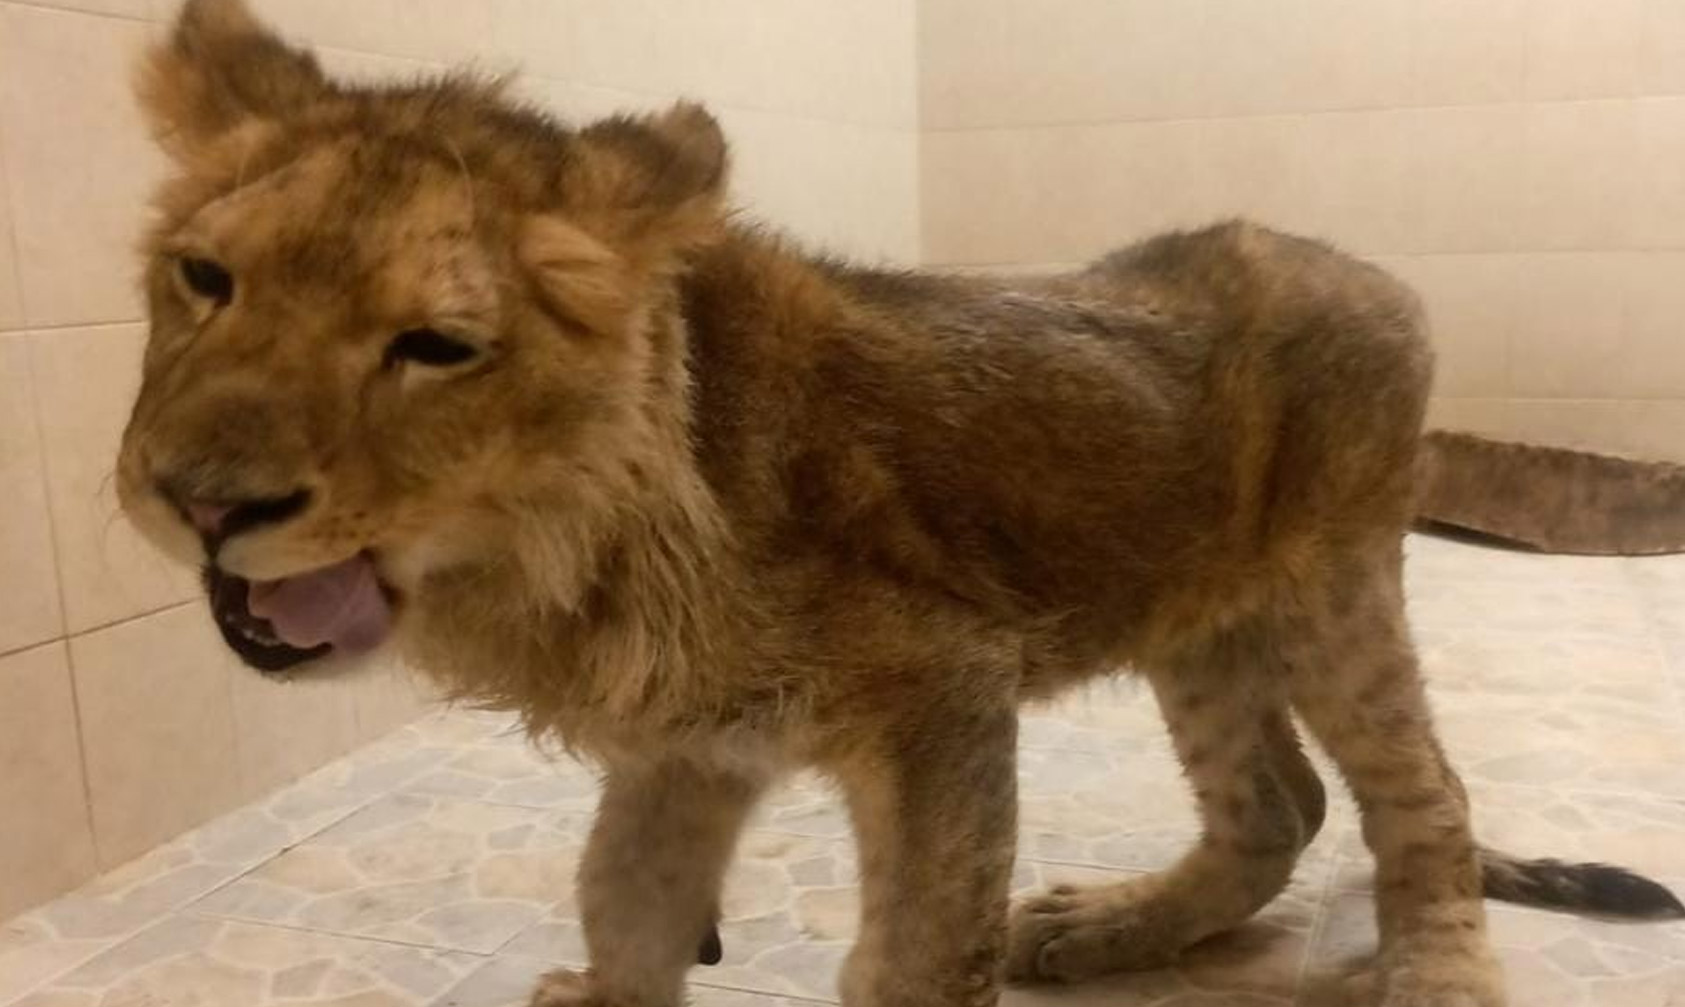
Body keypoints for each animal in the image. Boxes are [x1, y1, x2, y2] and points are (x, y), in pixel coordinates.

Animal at [116, 3, 1683, 1006]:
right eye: (206, 279)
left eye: (434, 347)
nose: (197, 502)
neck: (569, 535)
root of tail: (1353, 262)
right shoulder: (688, 741)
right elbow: (625, 897)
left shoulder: (944, 692)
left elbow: (915, 955)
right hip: (1196, 617)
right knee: (1277, 803)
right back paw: (1103, 927)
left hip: (1335, 583)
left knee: (1420, 797)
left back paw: (1436, 971)